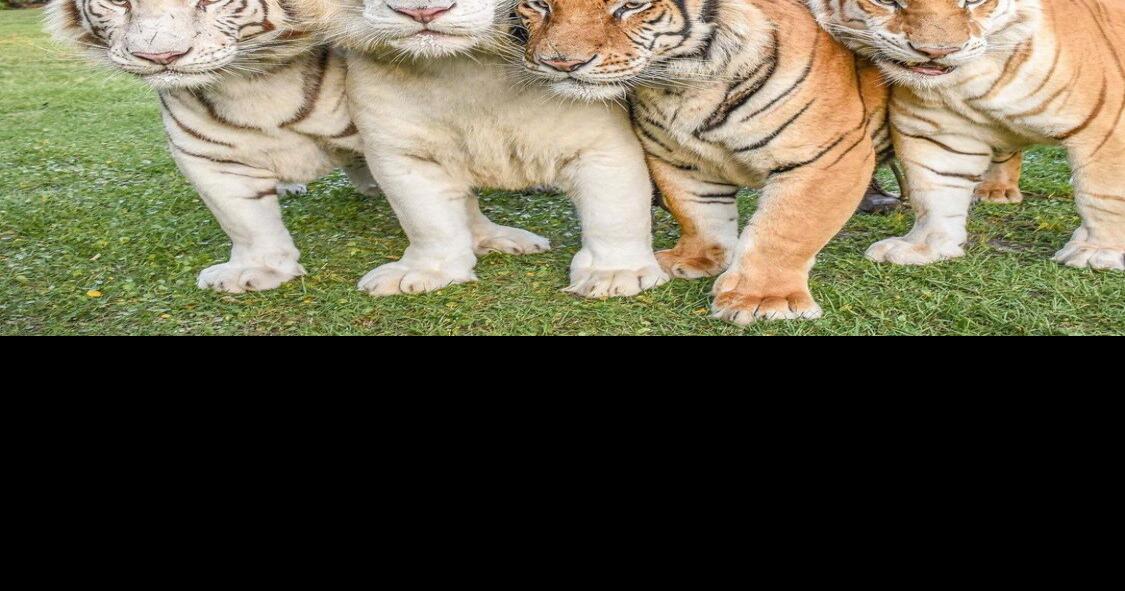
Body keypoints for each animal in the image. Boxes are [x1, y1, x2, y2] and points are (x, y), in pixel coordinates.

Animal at [307, 0, 669, 298]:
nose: (423, 12)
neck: (467, 68)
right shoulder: (403, 154)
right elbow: (428, 221)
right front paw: (425, 271)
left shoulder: (603, 144)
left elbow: (615, 213)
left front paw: (615, 274)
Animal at [516, 0, 892, 324]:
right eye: (539, 4)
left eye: (632, 5)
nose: (561, 63)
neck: (682, 86)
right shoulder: (677, 159)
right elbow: (700, 215)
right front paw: (696, 260)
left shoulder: (827, 155)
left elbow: (783, 231)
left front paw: (761, 300)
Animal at [810, 0, 1125, 272]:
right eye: (887, 1)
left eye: (972, 1)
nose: (936, 52)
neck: (969, 81)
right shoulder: (939, 131)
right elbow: (935, 190)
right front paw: (924, 246)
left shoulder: (1105, 125)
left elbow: (1101, 194)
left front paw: (1096, 252)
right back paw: (996, 191)